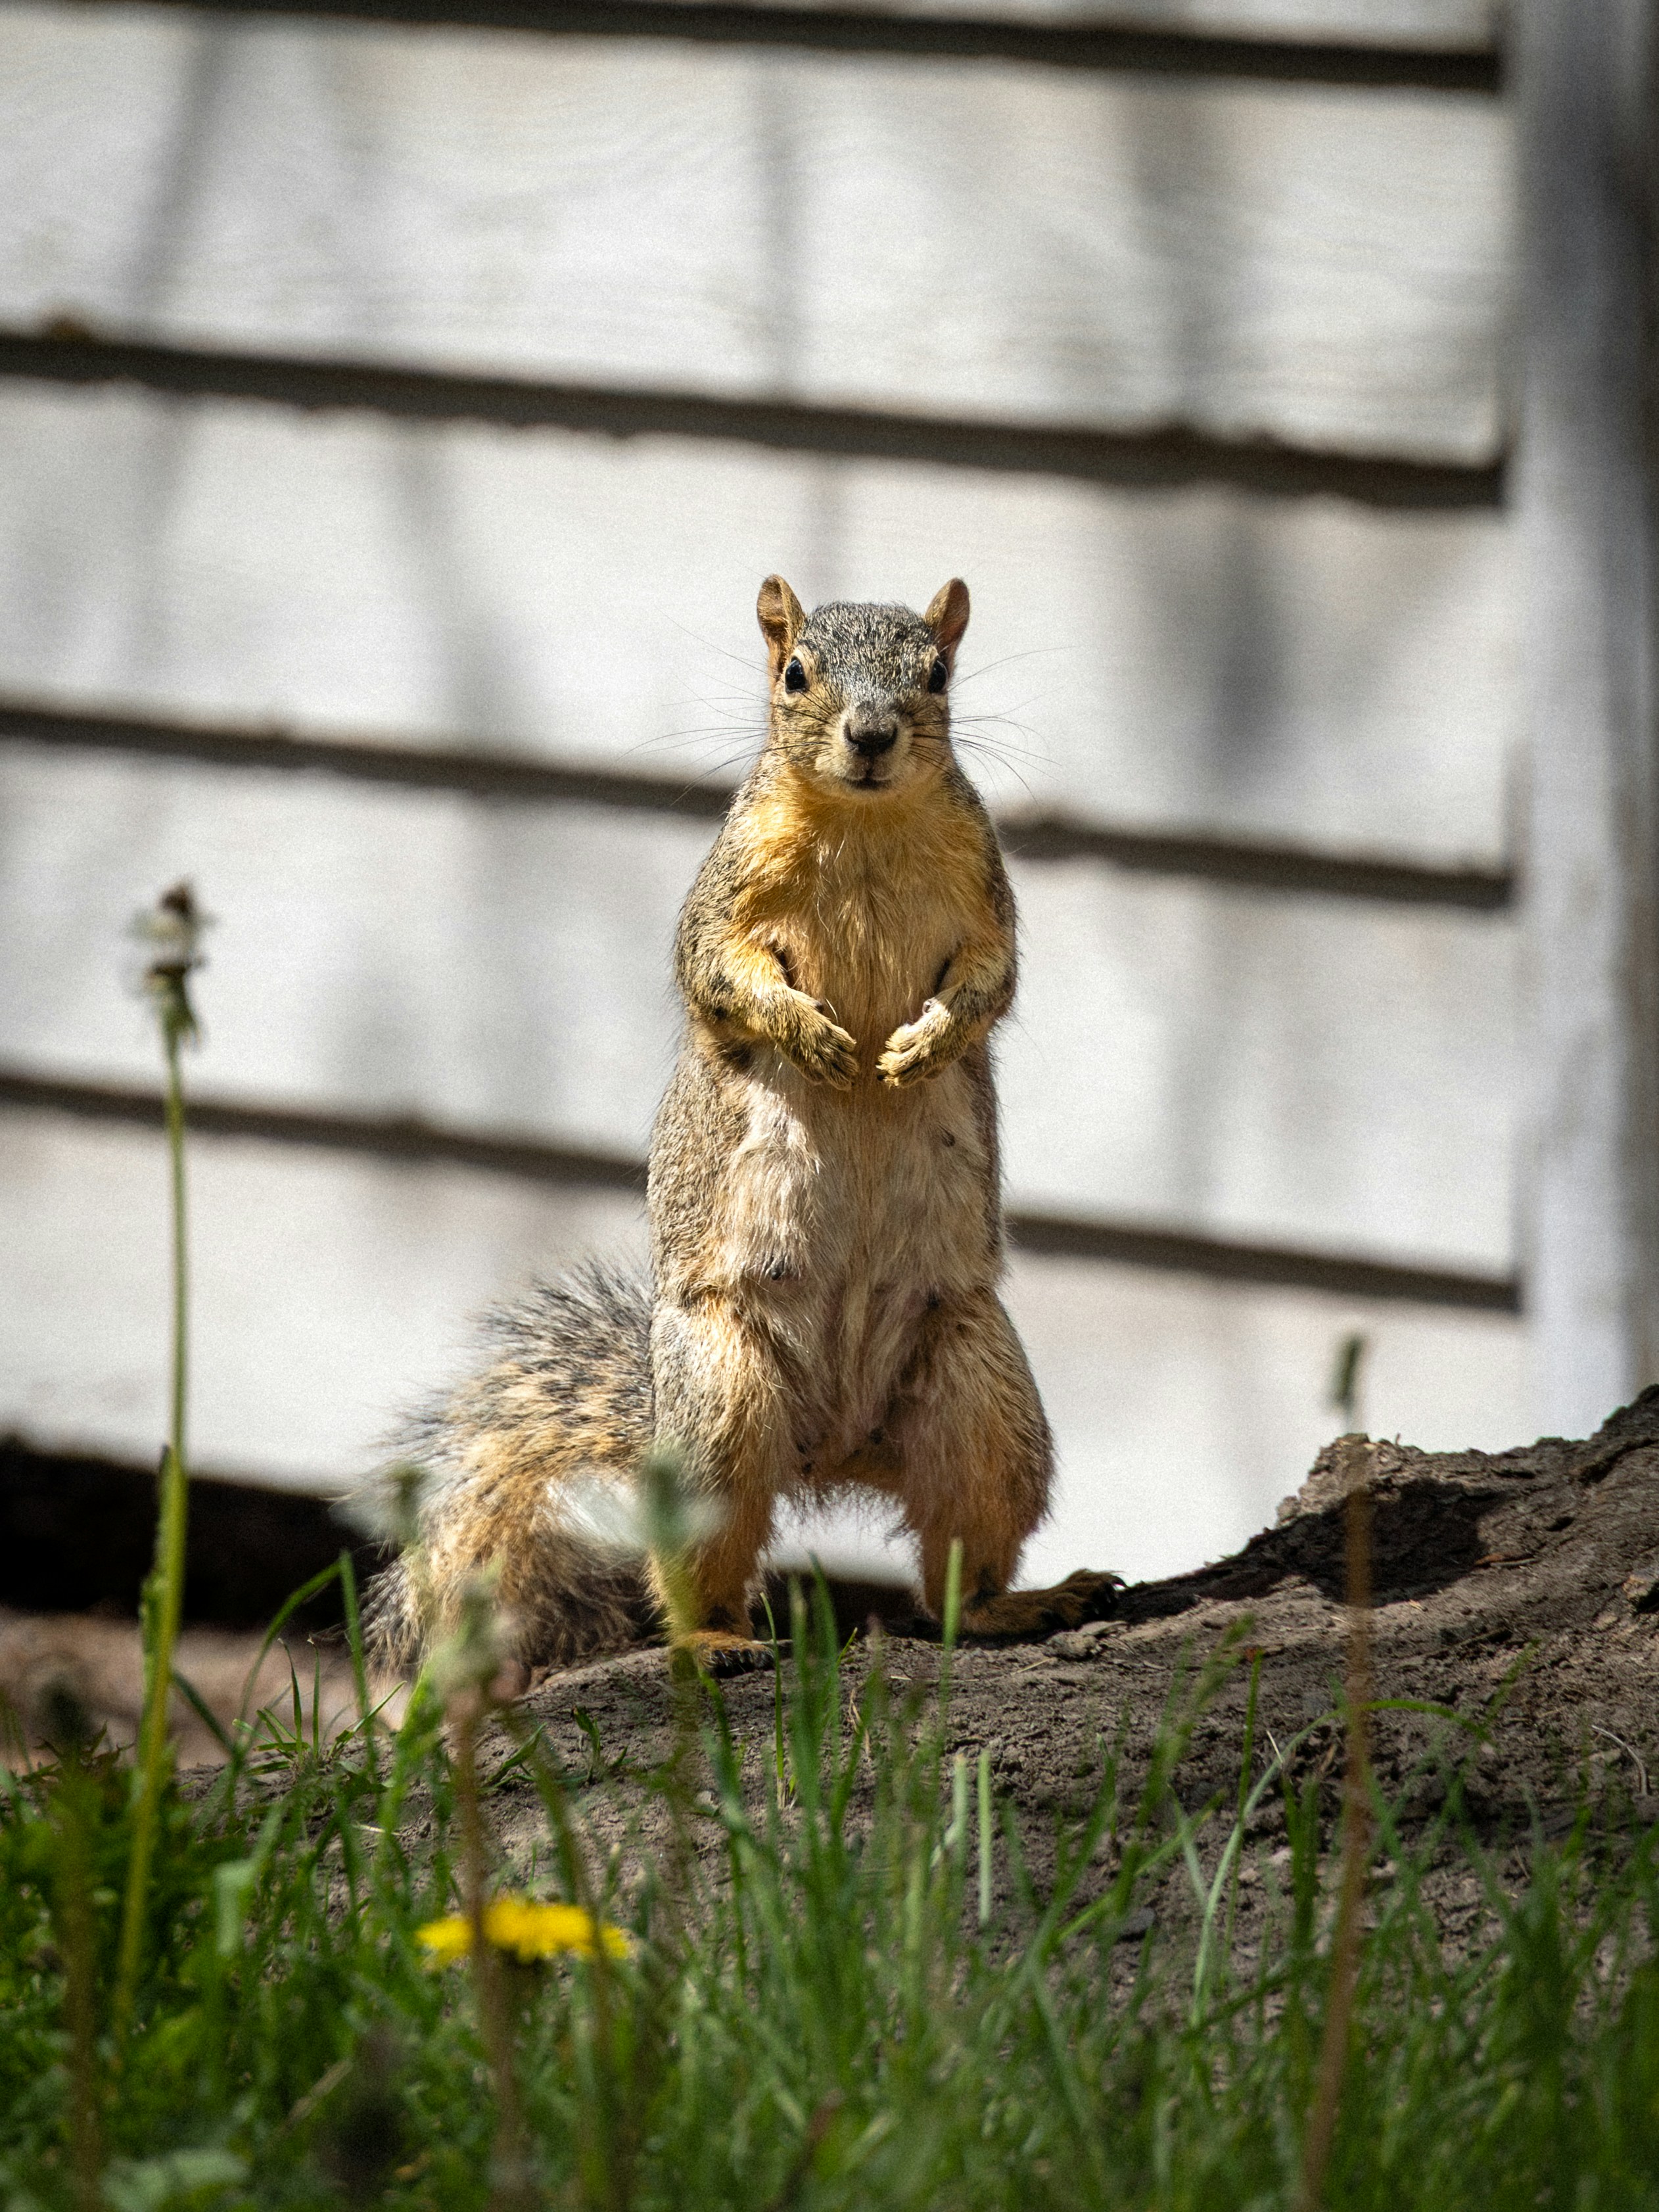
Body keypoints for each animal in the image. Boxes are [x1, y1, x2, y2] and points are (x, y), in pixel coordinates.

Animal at [366, 577, 1119, 1675]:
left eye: (937, 672)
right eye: (795, 672)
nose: (872, 736)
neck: (864, 821)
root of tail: (834, 1450)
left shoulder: (986, 891)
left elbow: (992, 980)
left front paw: (922, 1046)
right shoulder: (725, 892)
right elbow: (718, 971)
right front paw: (809, 1034)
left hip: (983, 1394)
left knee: (961, 1562)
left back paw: (1014, 1605)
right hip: (721, 1405)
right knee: (696, 1563)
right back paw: (714, 1636)